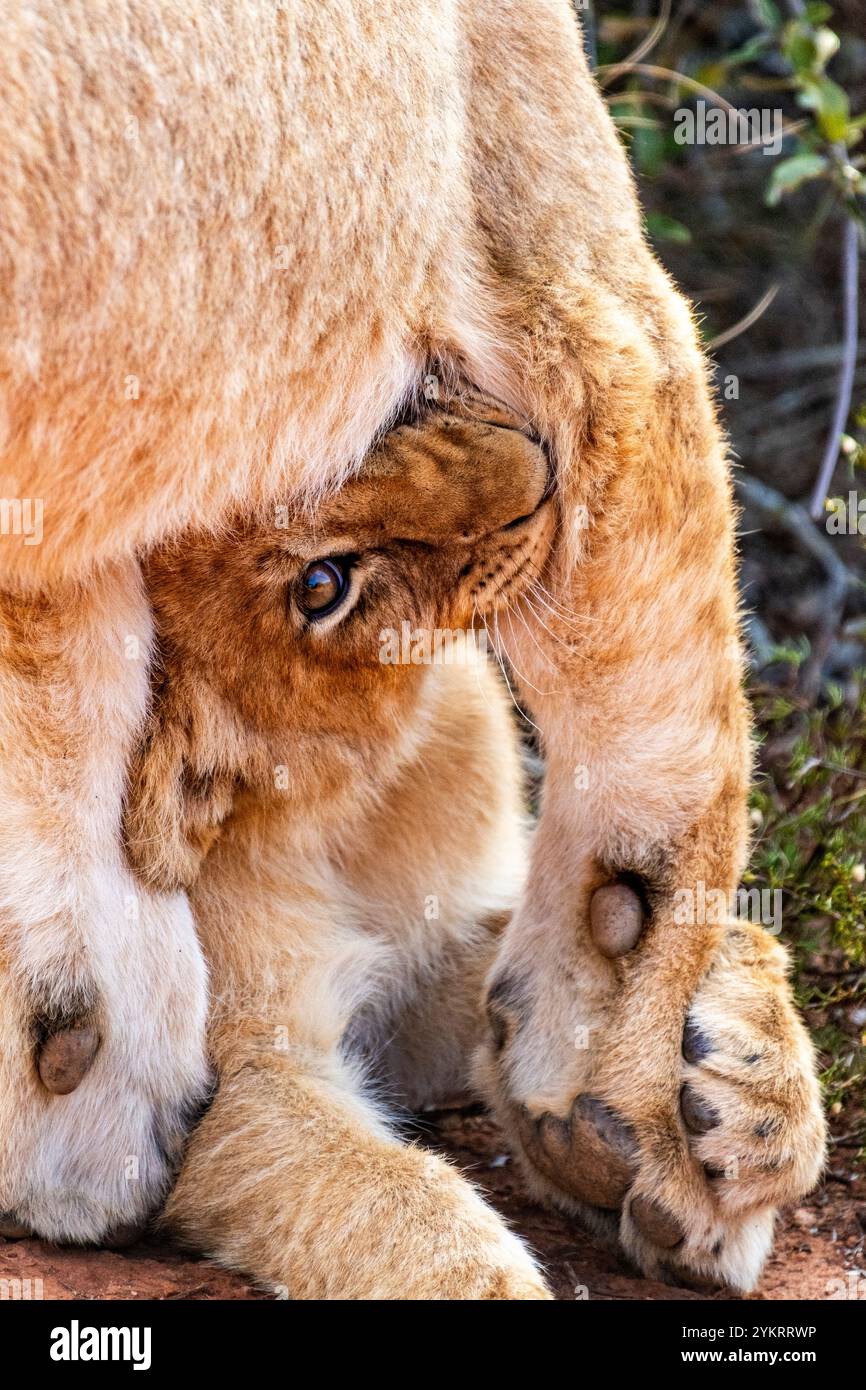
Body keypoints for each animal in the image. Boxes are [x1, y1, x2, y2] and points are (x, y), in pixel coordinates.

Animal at [0, 0, 824, 1294]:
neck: (366, 790)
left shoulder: (431, 960)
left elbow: (510, 964)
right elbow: (404, 1214)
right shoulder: (247, 1077)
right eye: (321, 586)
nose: (532, 468)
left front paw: (745, 1082)